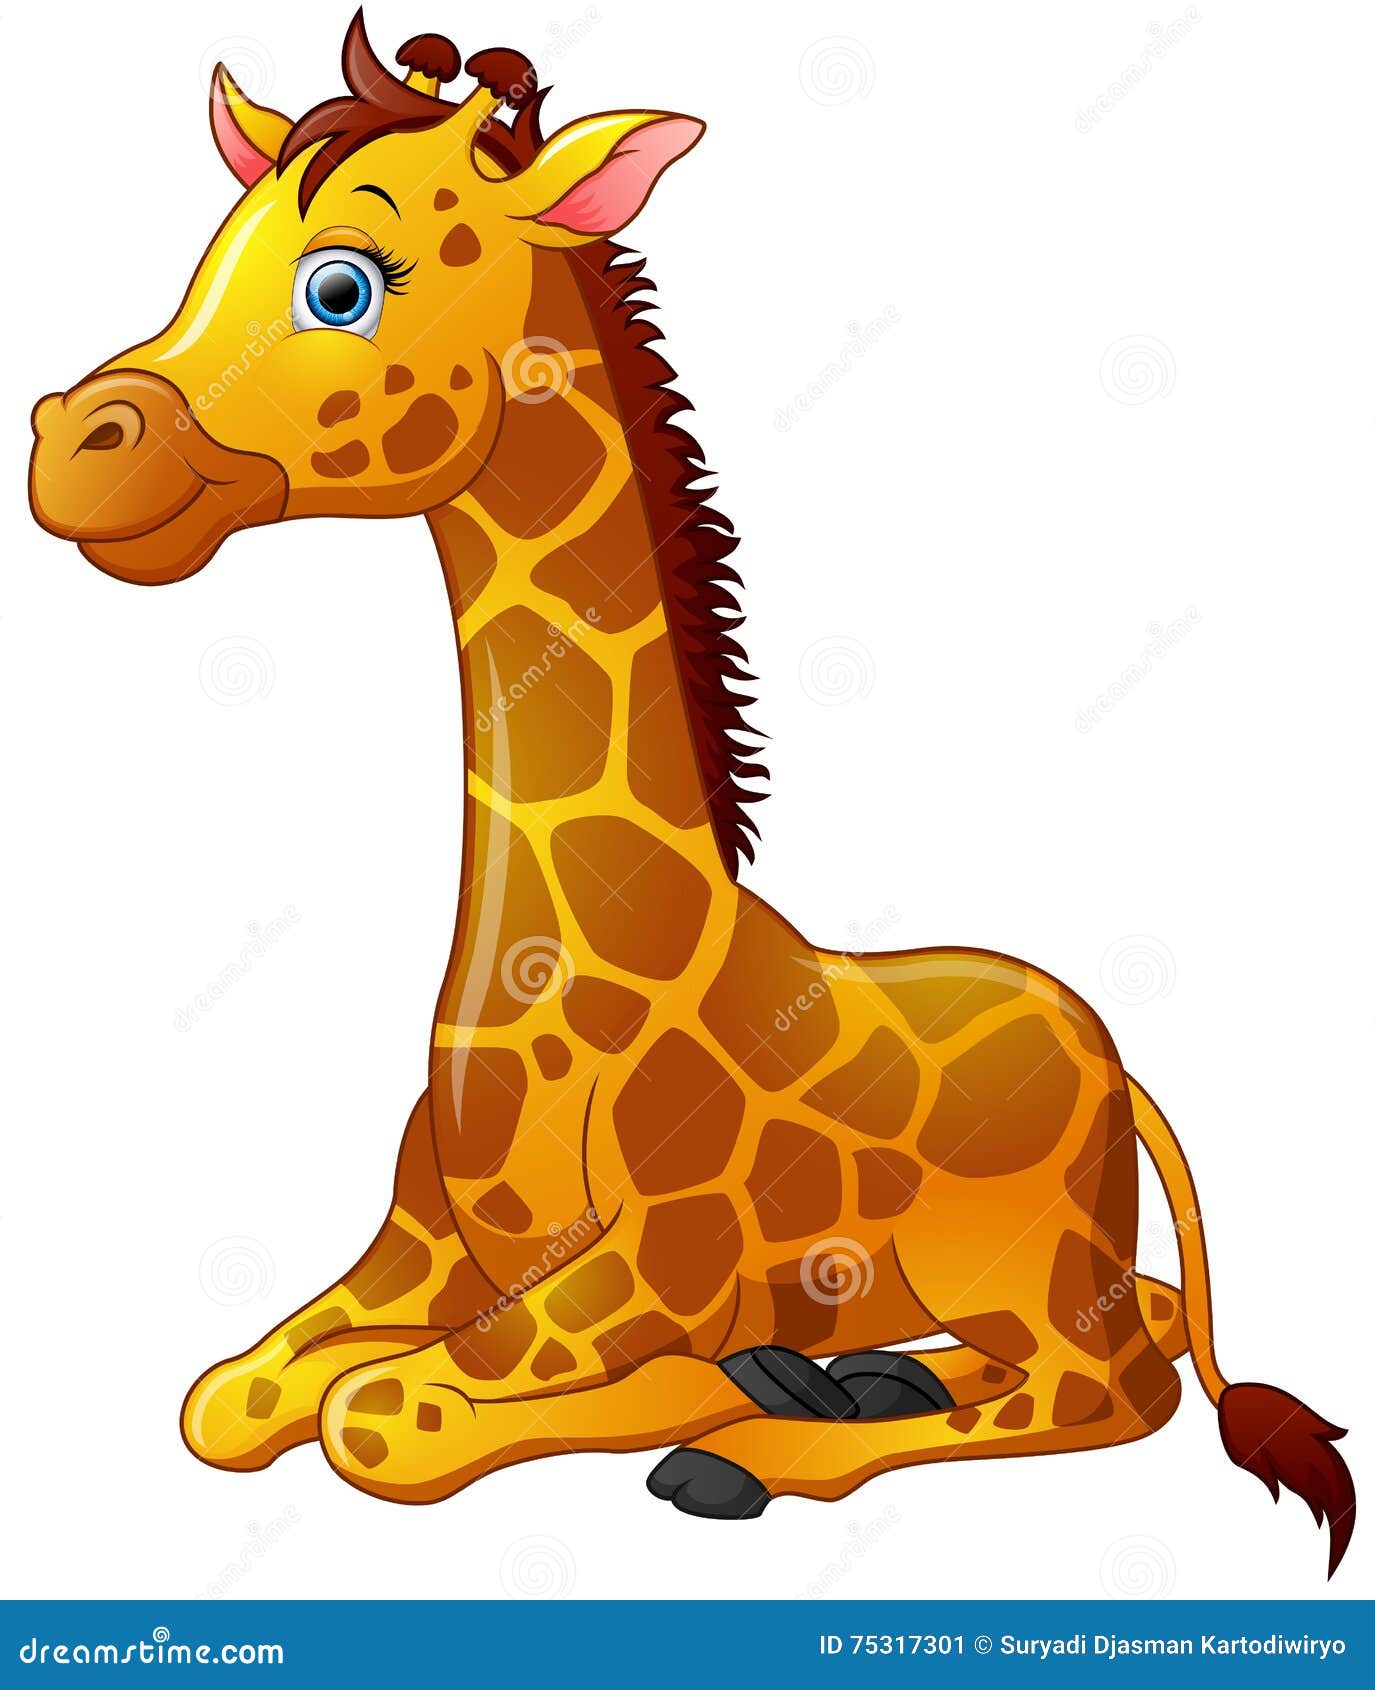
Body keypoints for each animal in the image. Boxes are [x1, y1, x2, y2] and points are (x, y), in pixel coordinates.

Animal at [27, 13, 1354, 1574]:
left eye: (341, 283)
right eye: (209, 253)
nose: (73, 449)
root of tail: (1116, 1064)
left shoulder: (654, 1265)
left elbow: (380, 1415)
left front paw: (711, 1393)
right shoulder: (420, 1249)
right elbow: (231, 1398)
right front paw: (751, 1373)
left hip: (1010, 1269)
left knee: (1114, 1384)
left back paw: (762, 1439)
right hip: (1036, 1272)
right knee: (1119, 1327)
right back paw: (849, 1375)